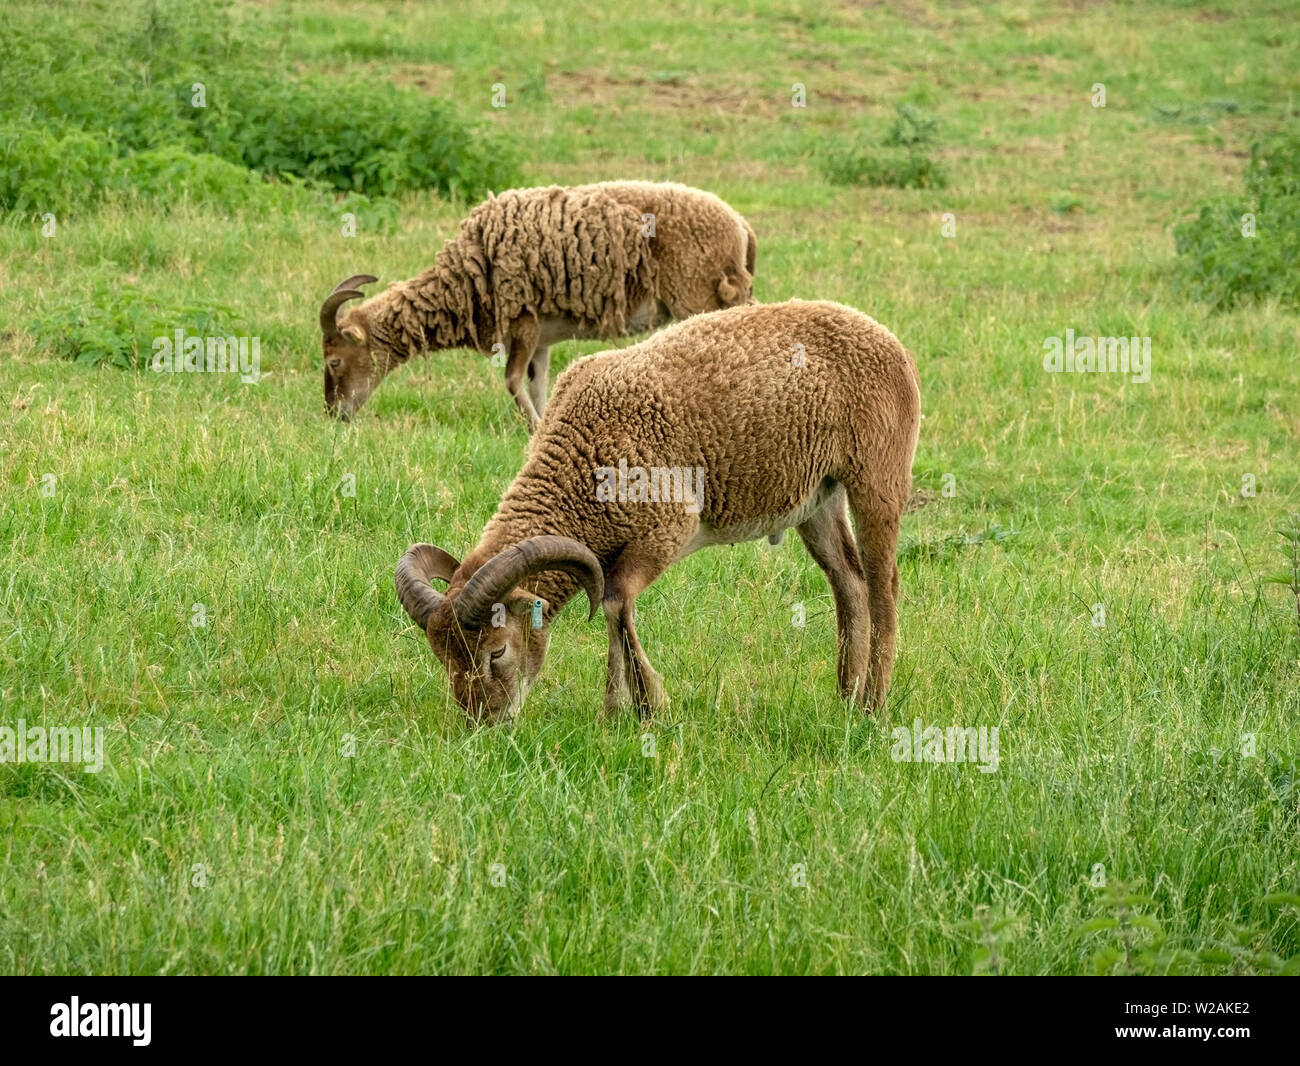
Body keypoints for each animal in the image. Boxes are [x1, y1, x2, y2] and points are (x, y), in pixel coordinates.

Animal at [320, 181, 757, 428]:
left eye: (335, 361)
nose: (334, 414)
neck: (465, 276)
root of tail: (740, 225)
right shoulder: (544, 339)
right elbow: (539, 382)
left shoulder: (524, 322)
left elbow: (512, 380)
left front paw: (533, 428)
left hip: (699, 298)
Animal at [393, 299, 921, 724]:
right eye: (442, 657)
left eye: (497, 650)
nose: (482, 722)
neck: (580, 459)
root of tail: (892, 343)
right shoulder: (604, 555)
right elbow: (610, 613)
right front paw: (614, 710)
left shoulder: (663, 531)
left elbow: (615, 605)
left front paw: (648, 706)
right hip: (819, 497)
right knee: (848, 581)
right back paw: (846, 697)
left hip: (877, 477)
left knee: (883, 585)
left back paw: (873, 705)